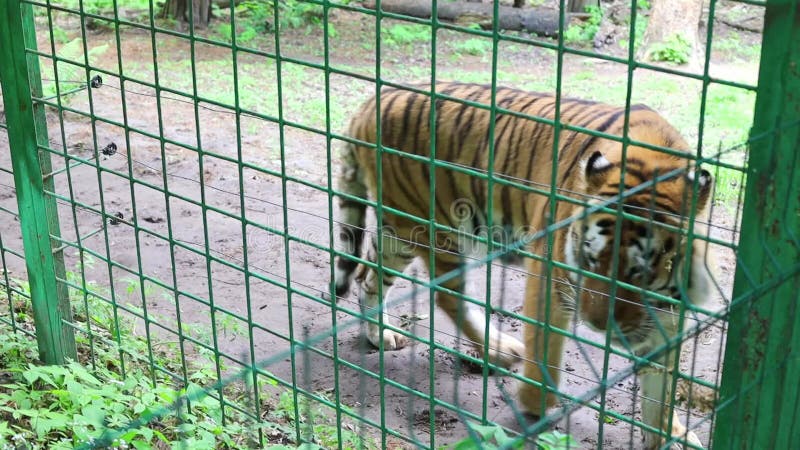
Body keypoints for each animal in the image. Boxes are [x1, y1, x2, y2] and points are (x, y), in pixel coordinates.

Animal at [330, 82, 712, 449]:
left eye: (639, 272)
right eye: (590, 258)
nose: (598, 324)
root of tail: (374, 100)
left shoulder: (667, 311)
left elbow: (662, 387)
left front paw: (670, 435)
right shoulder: (550, 274)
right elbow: (545, 349)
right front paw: (535, 403)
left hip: (399, 230)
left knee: (368, 277)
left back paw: (380, 333)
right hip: (433, 228)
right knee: (448, 297)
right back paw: (497, 351)